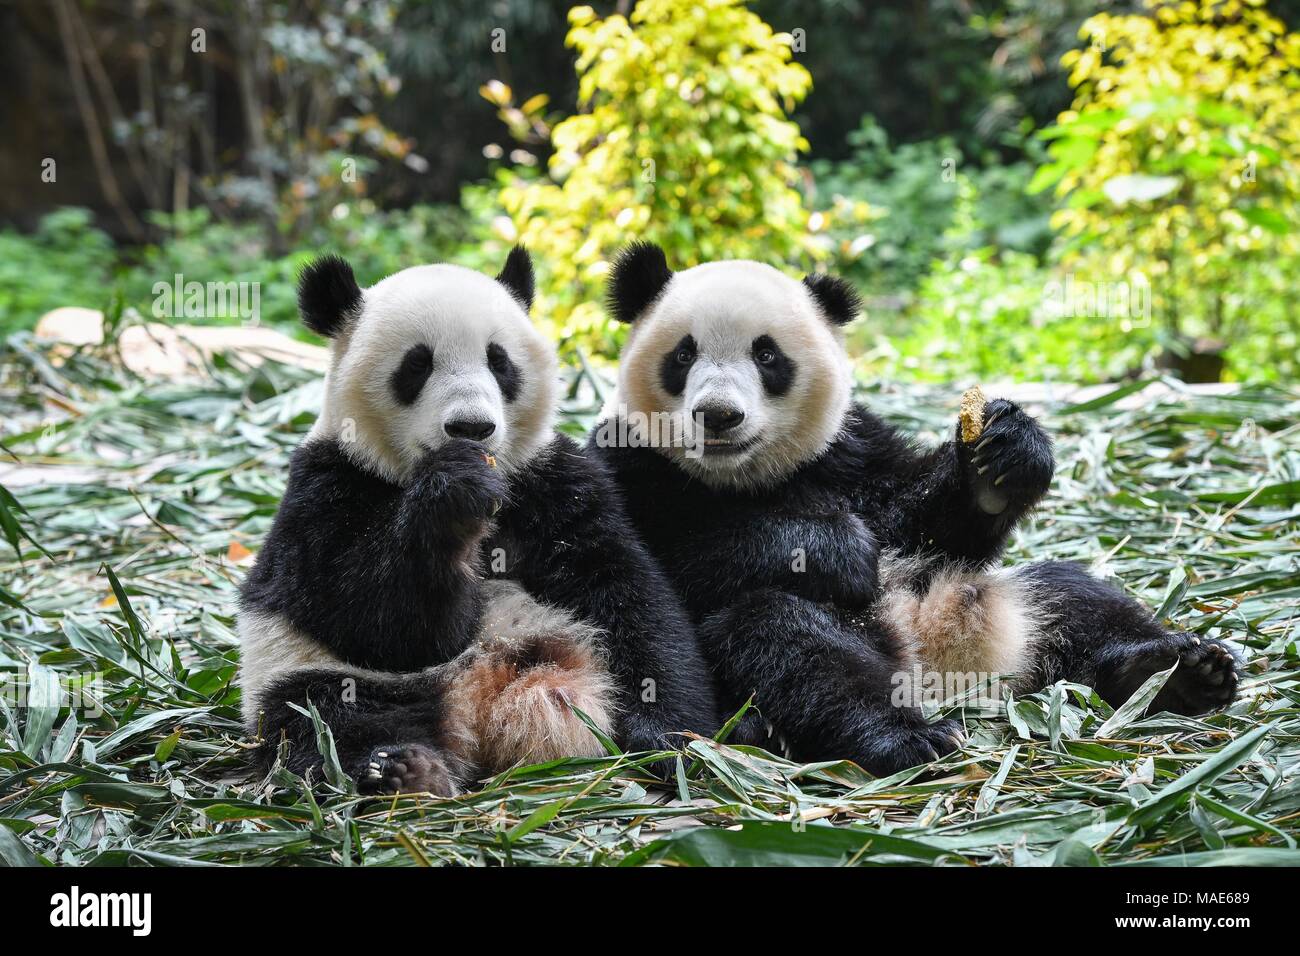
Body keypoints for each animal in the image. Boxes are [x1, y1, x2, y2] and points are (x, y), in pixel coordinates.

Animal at [239, 248, 717, 795]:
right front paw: (454, 495)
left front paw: (670, 738)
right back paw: (404, 769)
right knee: (326, 718)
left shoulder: (554, 482)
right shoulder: (327, 486)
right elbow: (380, 621)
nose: (471, 427)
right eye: (417, 365)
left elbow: (626, 593)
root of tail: (479, 704)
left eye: (499, 361)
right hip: (302, 671)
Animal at [589, 242, 1241, 776]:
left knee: (1072, 596)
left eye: (767, 357)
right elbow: (672, 560)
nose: (719, 416)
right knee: (792, 644)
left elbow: (925, 524)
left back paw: (1178, 672)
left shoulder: (849, 450)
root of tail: (936, 659)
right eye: (683, 355)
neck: (746, 479)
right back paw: (906, 737)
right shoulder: (632, 465)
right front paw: (836, 550)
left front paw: (1002, 458)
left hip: (985, 595)